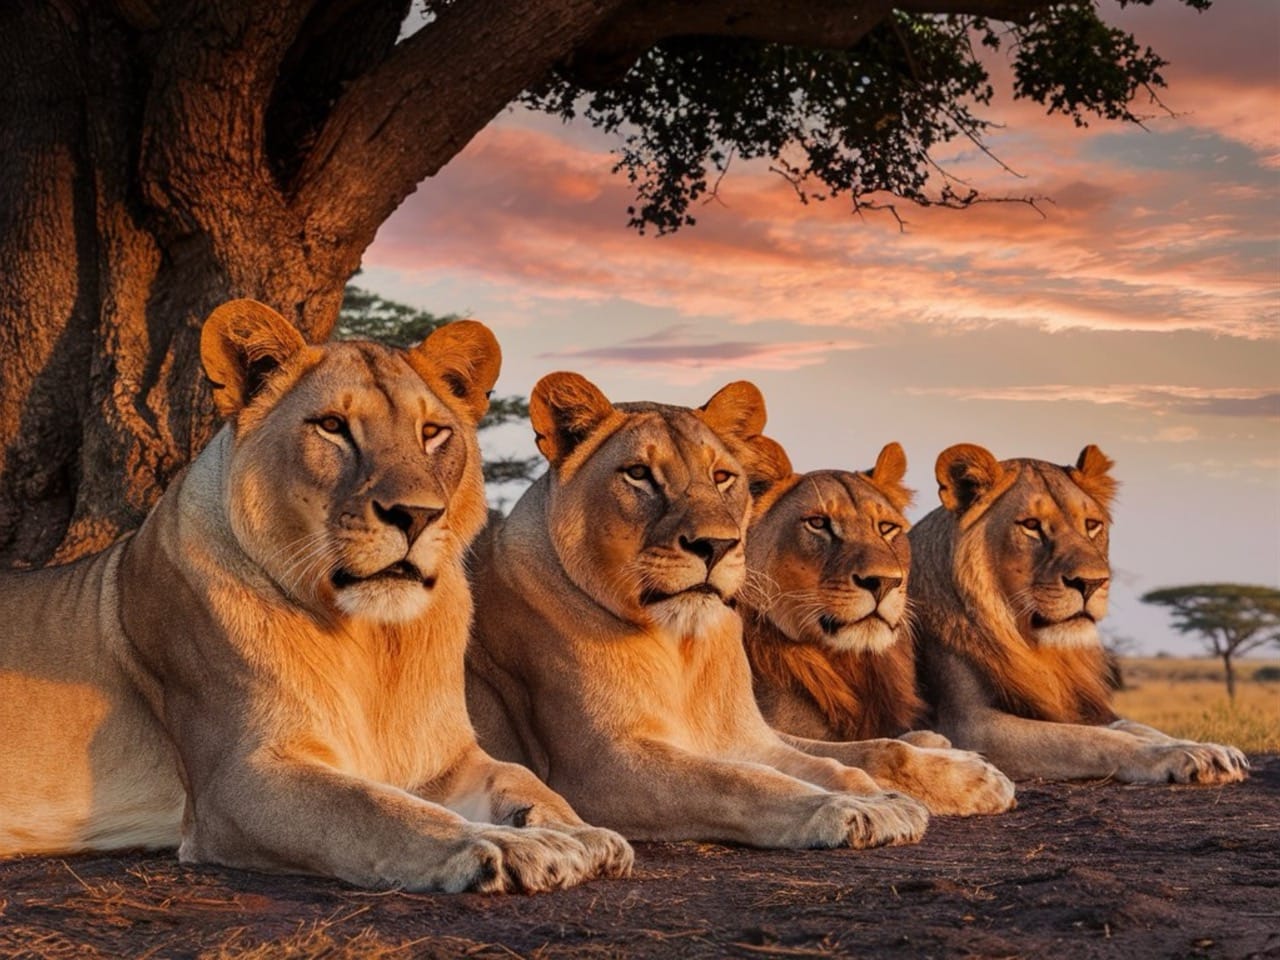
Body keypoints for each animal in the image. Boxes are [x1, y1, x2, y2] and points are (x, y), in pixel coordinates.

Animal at [0, 300, 632, 892]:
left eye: (433, 433)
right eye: (332, 426)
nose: (416, 515)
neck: (376, 645)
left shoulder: (442, 762)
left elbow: (523, 778)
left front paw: (583, 834)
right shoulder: (237, 782)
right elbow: (379, 810)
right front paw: (512, 846)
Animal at [466, 372, 929, 850]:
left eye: (722, 477)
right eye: (638, 474)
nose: (717, 545)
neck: (683, 647)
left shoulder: (748, 739)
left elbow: (832, 767)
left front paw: (882, 796)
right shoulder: (600, 766)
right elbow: (740, 781)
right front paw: (851, 808)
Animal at [736, 440, 1015, 815]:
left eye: (886, 528)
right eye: (817, 523)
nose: (884, 582)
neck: (840, 662)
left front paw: (937, 742)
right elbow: (882, 751)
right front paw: (978, 780)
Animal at [908, 442, 1249, 784]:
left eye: (1092, 525)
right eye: (1031, 526)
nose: (1092, 583)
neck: (1030, 644)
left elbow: (1132, 725)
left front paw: (1212, 748)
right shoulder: (968, 724)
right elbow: (1090, 739)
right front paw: (1176, 755)